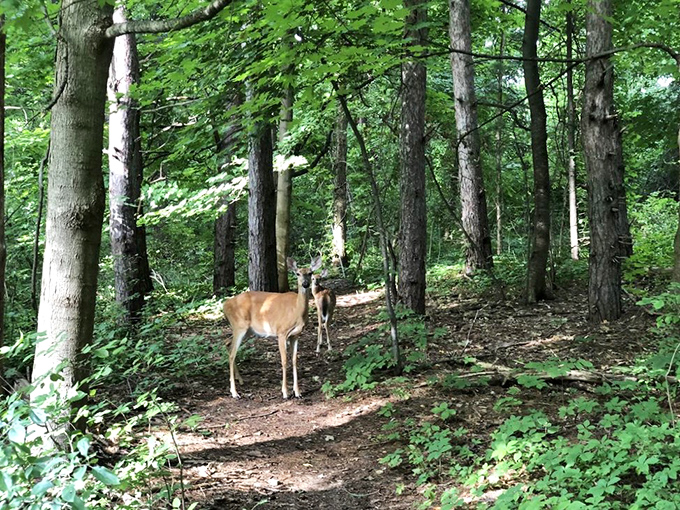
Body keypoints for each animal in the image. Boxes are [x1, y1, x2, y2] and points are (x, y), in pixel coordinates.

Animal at [222, 255, 321, 399]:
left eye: (310, 273)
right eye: (297, 273)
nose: (305, 284)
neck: (297, 311)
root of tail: (225, 305)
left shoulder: (296, 335)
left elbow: (294, 360)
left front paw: (298, 392)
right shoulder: (281, 332)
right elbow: (284, 360)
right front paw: (285, 392)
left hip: (247, 330)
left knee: (227, 343)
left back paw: (240, 380)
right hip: (239, 326)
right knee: (232, 354)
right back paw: (234, 392)